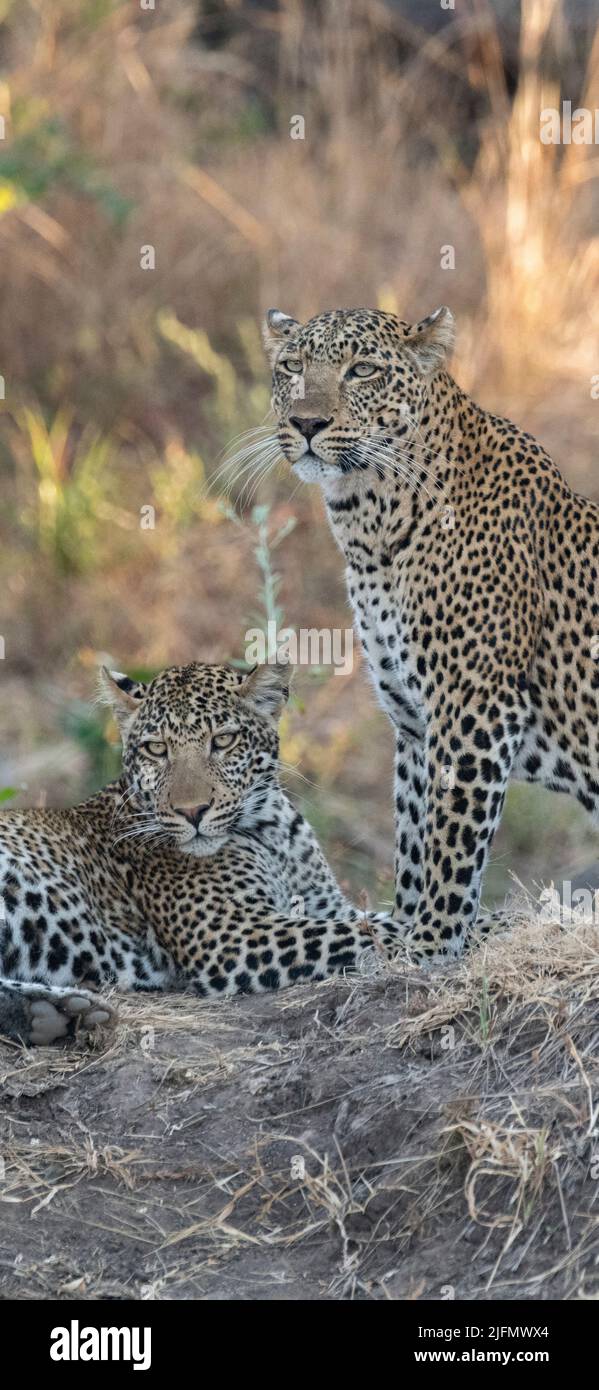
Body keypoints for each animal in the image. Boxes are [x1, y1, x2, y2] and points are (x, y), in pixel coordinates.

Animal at [0, 658, 405, 1044]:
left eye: (223, 741)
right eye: (156, 748)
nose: (192, 811)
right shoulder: (230, 932)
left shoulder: (329, 906)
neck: (269, 828)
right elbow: (366, 931)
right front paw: (420, 935)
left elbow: (374, 919)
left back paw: (51, 1012)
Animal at [262, 303, 599, 961]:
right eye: (291, 366)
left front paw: (432, 941)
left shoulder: (476, 705)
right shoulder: (415, 719)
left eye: (361, 370)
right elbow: (413, 833)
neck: (370, 525)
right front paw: (407, 932)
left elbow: (451, 838)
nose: (307, 422)